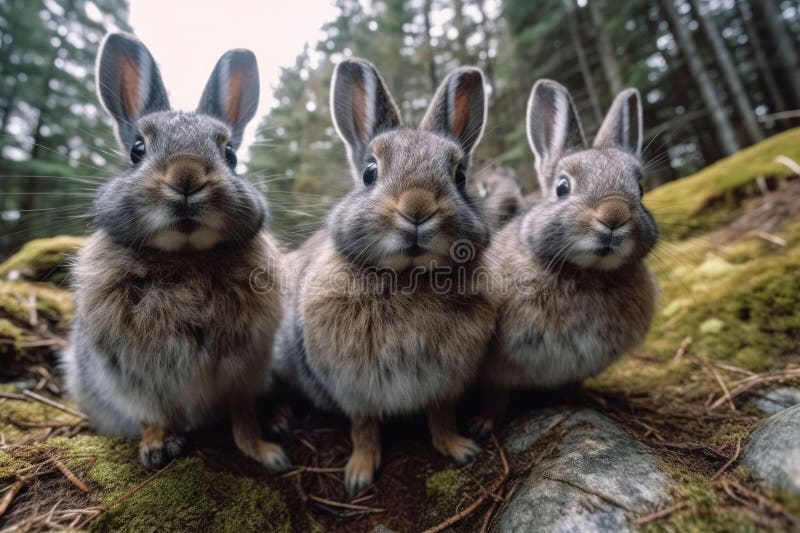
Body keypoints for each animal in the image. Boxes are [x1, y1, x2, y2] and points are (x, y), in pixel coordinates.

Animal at [61, 33, 289, 471]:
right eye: (137, 149)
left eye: (231, 155)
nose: (187, 177)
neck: (186, 257)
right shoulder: (131, 378)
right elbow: (152, 414)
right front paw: (155, 447)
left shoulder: (244, 371)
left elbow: (243, 418)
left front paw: (266, 453)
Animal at [271, 58, 494, 495]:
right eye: (370, 172)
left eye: (460, 175)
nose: (417, 208)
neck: (408, 278)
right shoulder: (354, 388)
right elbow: (364, 428)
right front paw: (358, 474)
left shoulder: (445, 381)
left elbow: (441, 416)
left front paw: (459, 448)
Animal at [470, 80, 658, 436]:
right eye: (562, 187)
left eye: (640, 189)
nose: (614, 216)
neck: (588, 272)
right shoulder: (495, 367)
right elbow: (495, 393)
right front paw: (485, 424)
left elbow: (574, 385)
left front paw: (591, 401)